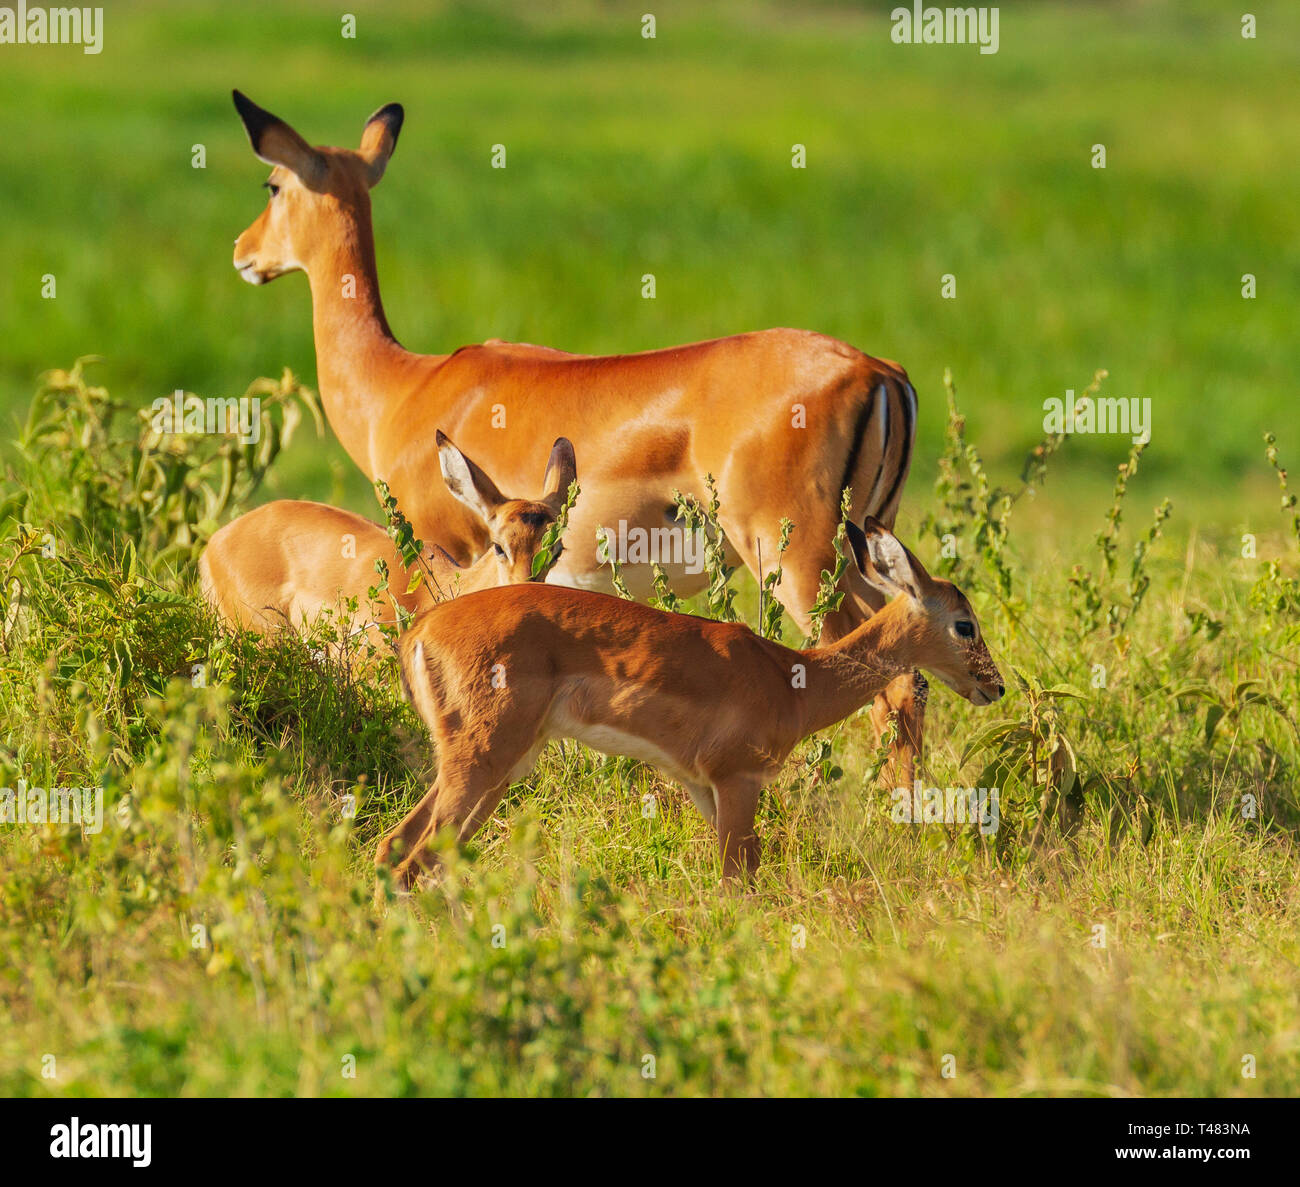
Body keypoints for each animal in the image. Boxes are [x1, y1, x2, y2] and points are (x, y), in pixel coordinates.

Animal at [377, 518, 1004, 896]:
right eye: (964, 624)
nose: (994, 686)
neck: (793, 681)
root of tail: (420, 632)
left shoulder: (703, 786)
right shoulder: (738, 778)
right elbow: (737, 882)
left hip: (494, 769)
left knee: (399, 849)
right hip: (482, 760)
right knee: (415, 861)